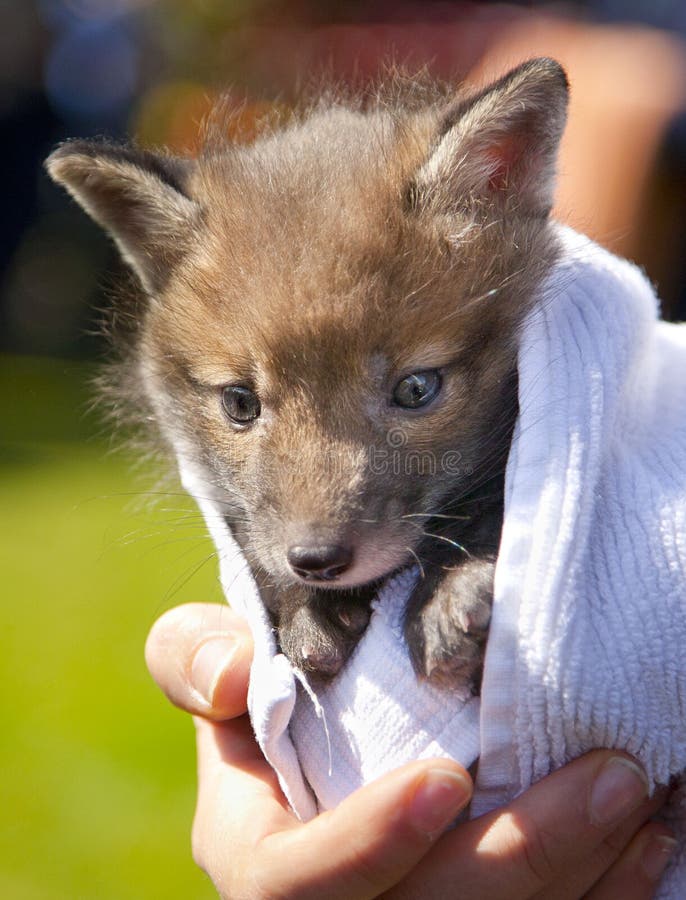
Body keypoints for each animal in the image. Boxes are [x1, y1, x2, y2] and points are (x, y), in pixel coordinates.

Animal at [47, 58, 568, 692]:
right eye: (240, 403)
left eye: (416, 389)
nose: (318, 561)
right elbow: (257, 549)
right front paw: (304, 613)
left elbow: (494, 504)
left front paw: (452, 585)